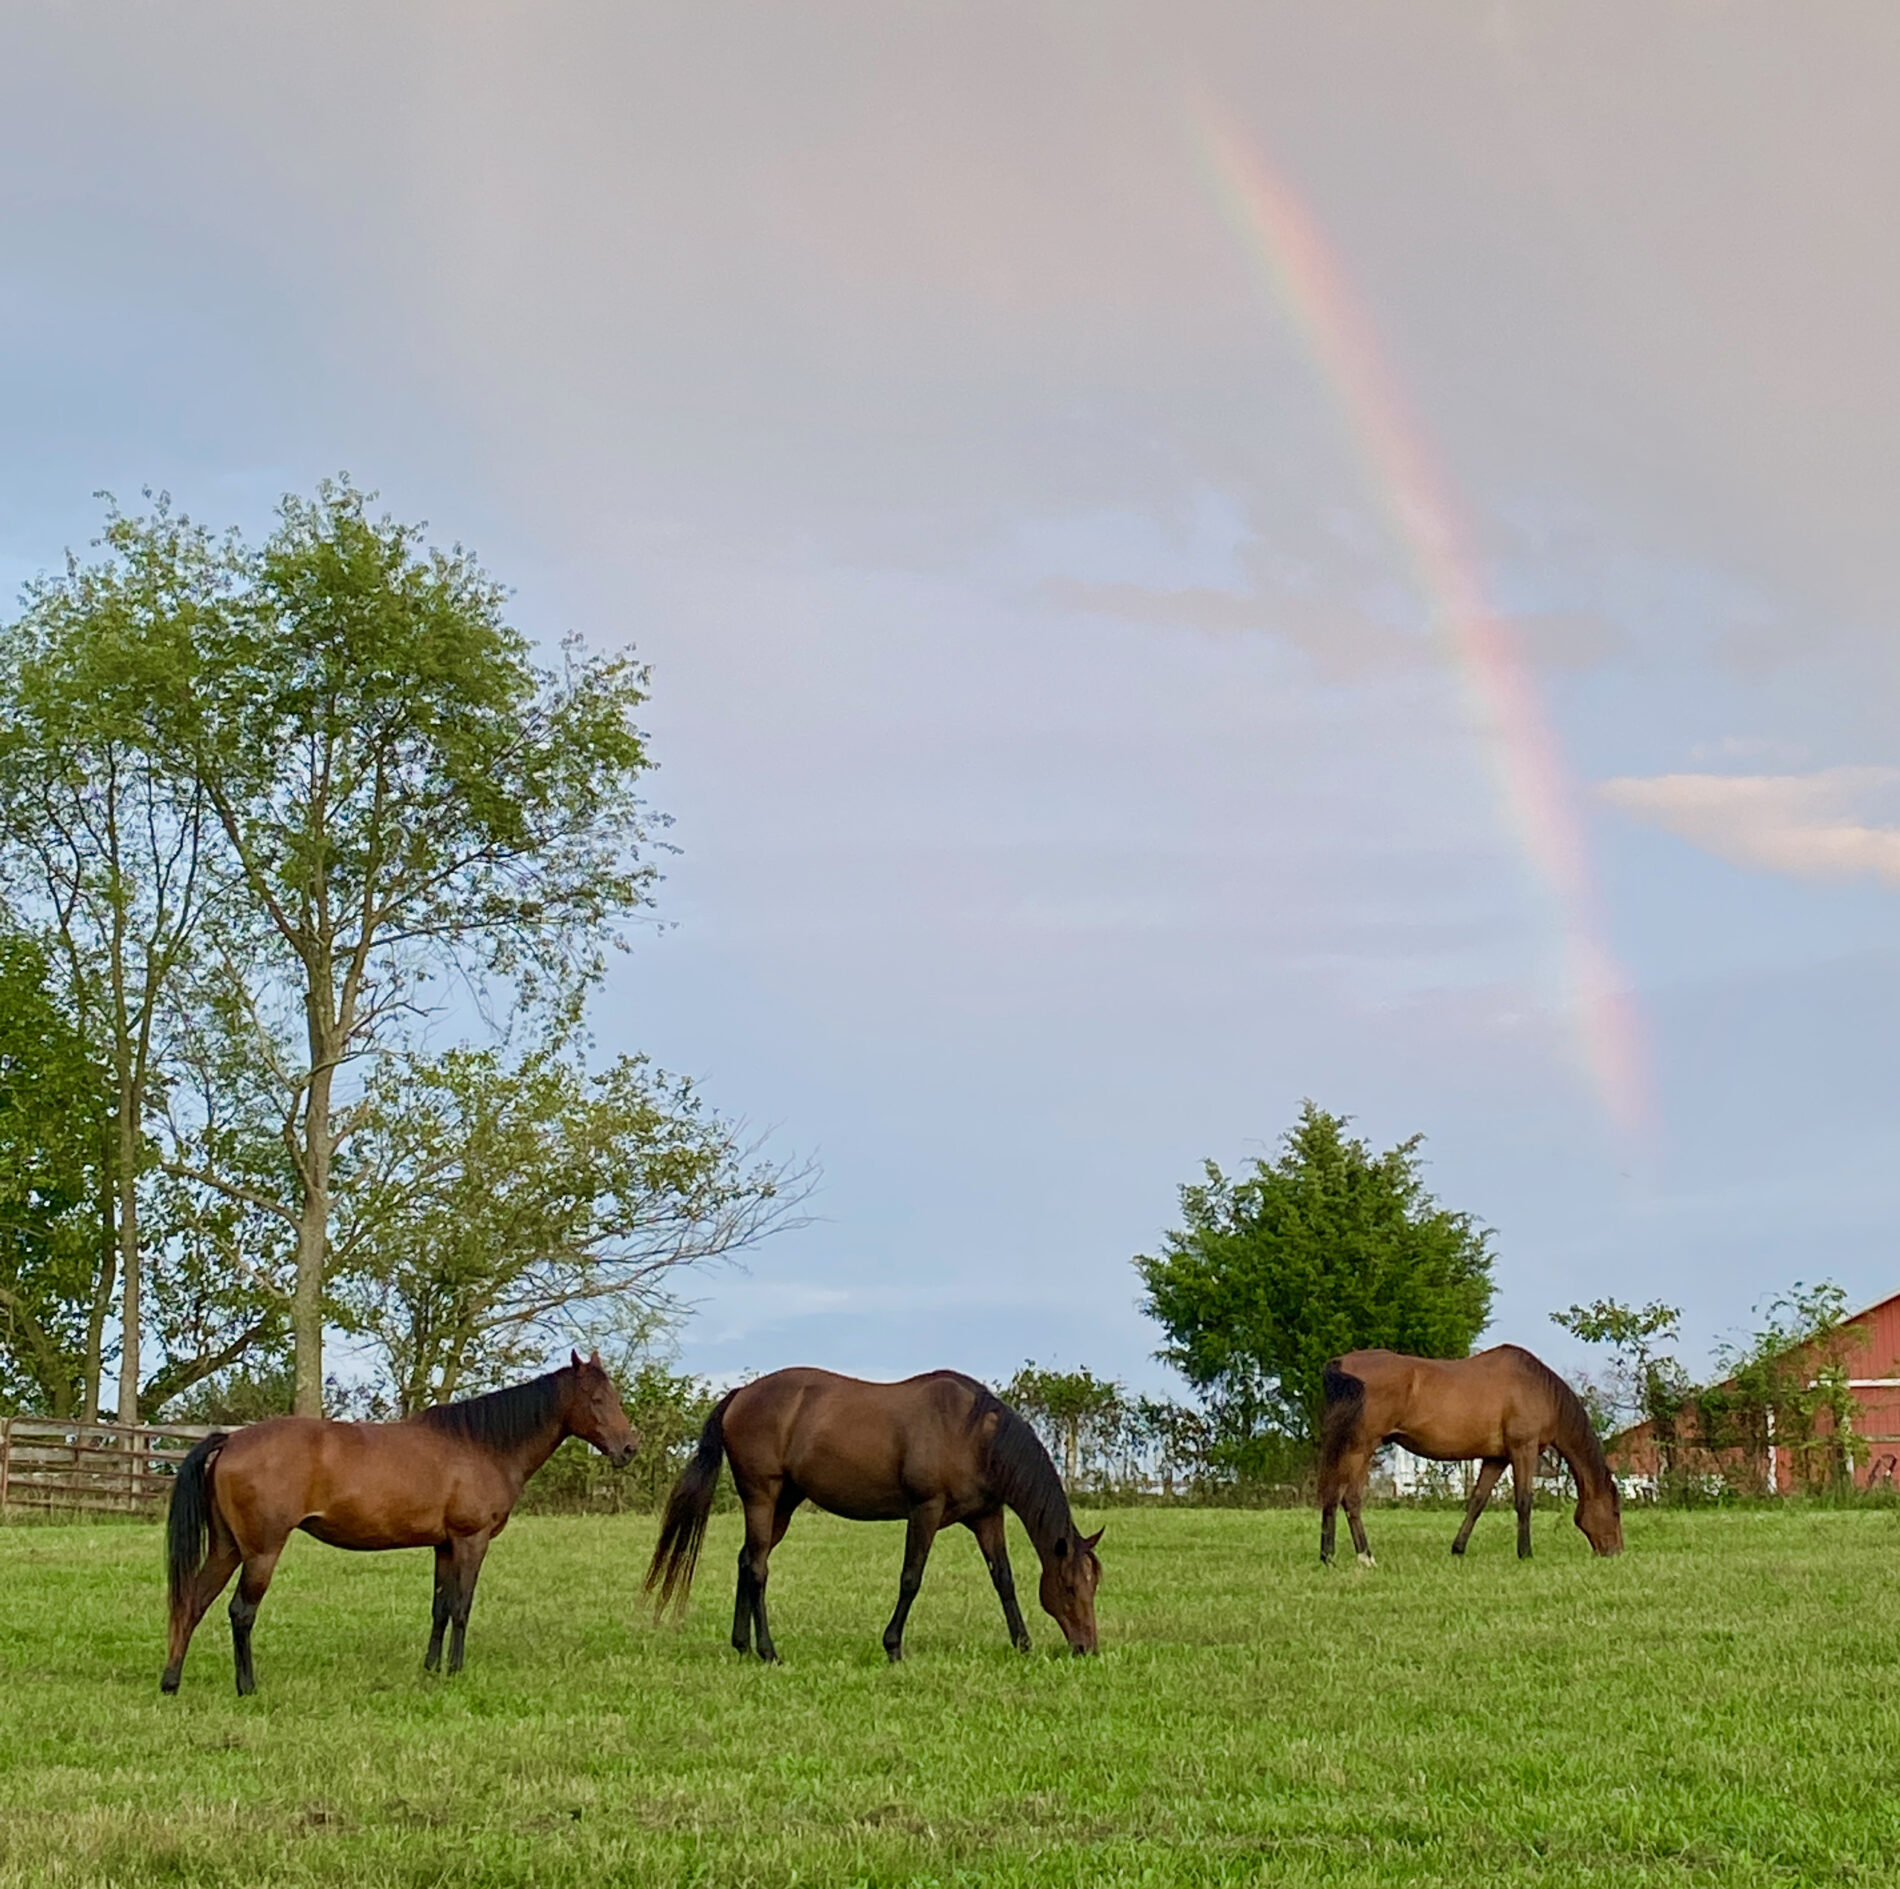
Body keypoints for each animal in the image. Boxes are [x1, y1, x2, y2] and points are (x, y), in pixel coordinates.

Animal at [161, 1351, 637, 1695]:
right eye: (596, 1400)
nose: (630, 1448)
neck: (479, 1445)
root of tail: (231, 1441)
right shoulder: (471, 1540)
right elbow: (462, 1607)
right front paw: (455, 1671)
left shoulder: (444, 1545)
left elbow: (440, 1608)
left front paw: (430, 1669)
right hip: (261, 1552)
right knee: (240, 1612)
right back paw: (247, 1686)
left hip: (227, 1548)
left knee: (192, 1603)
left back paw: (171, 1681)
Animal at [644, 1367, 1103, 1661]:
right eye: (1069, 1588)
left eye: (1092, 1585)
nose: (1088, 1649)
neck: (971, 1435)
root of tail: (741, 1395)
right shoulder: (925, 1511)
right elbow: (911, 1578)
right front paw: (893, 1646)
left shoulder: (987, 1516)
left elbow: (1003, 1580)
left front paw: (1022, 1644)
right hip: (761, 1497)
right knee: (757, 1568)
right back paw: (768, 1651)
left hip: (784, 1504)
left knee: (746, 1560)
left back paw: (741, 1645)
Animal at [1318, 1345, 1623, 1565]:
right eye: (1616, 1510)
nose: (1616, 1552)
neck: (1538, 1389)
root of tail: (1341, 1365)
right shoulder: (1523, 1449)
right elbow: (1524, 1501)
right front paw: (1525, 1553)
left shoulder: (1496, 1459)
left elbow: (1477, 1501)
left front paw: (1458, 1548)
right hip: (1361, 1447)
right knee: (1348, 1497)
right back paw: (1359, 1557)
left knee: (1335, 1495)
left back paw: (1331, 1556)